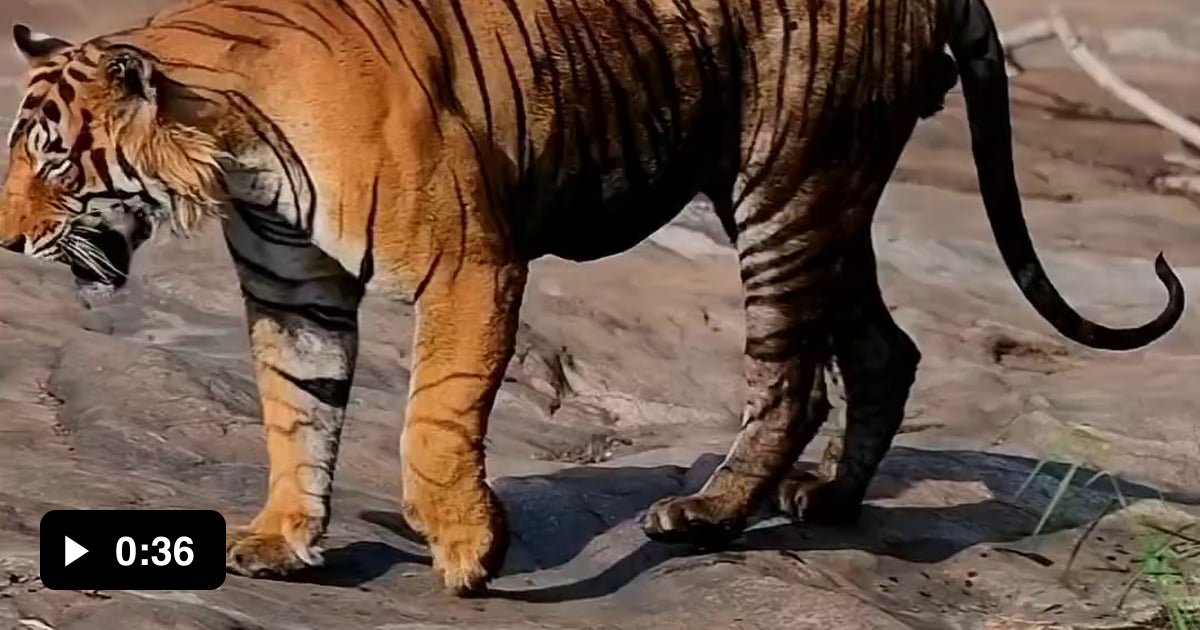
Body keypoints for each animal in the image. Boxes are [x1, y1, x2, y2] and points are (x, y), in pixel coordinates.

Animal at [0, 0, 1184, 596]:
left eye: (53, 159)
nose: (8, 240)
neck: (234, 152)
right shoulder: (299, 289)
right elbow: (297, 417)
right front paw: (282, 541)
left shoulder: (470, 261)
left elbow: (435, 419)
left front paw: (468, 551)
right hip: (821, 199)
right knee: (885, 350)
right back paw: (828, 502)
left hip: (785, 184)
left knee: (790, 380)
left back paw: (708, 515)